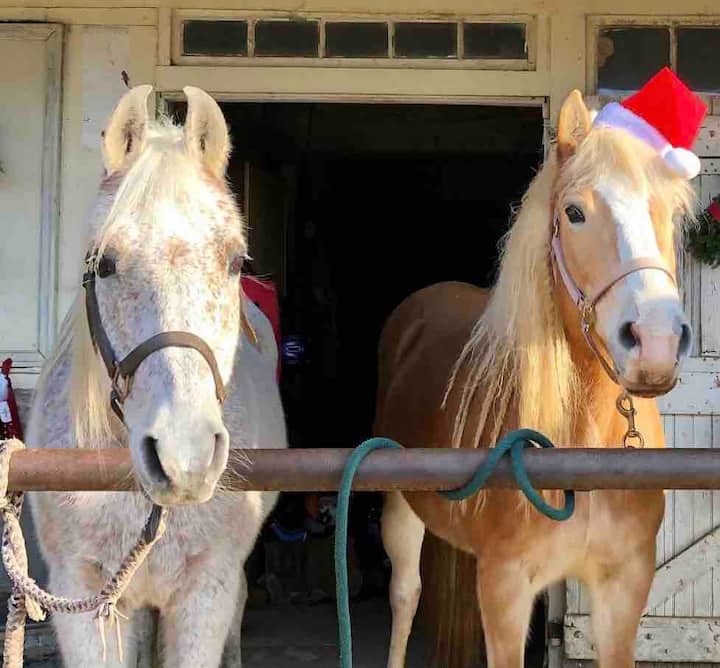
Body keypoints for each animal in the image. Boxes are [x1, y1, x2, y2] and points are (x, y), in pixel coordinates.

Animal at [375, 89, 695, 668]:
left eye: (674, 213)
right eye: (574, 213)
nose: (656, 341)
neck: (585, 450)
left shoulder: (624, 588)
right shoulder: (505, 588)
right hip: (398, 504)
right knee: (405, 594)